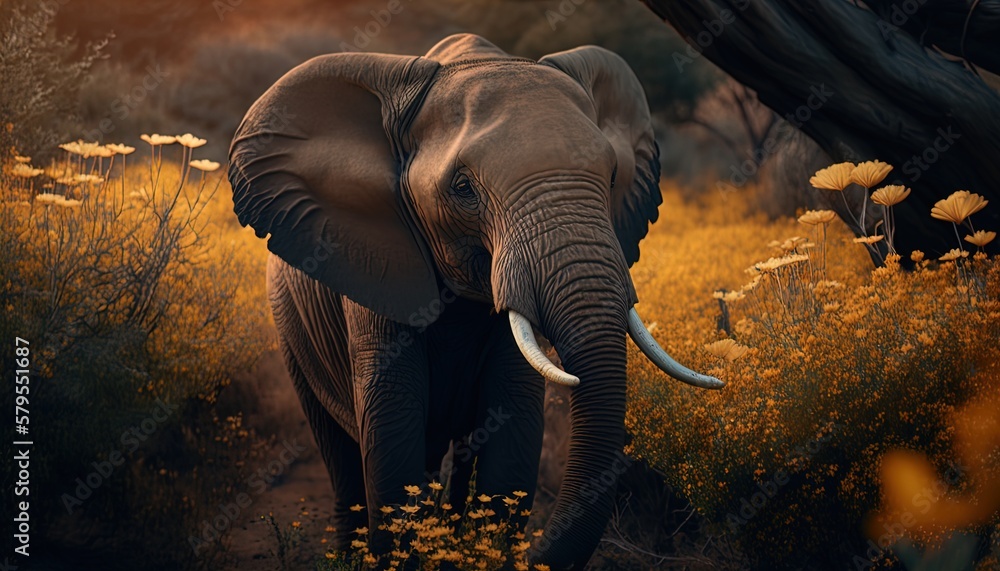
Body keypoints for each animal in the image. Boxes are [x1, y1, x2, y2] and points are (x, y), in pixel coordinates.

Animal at [228, 33, 723, 569]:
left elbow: (514, 430)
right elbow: (391, 434)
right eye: (464, 188)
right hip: (289, 323)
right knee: (339, 455)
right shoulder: (375, 266)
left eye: (613, 177)